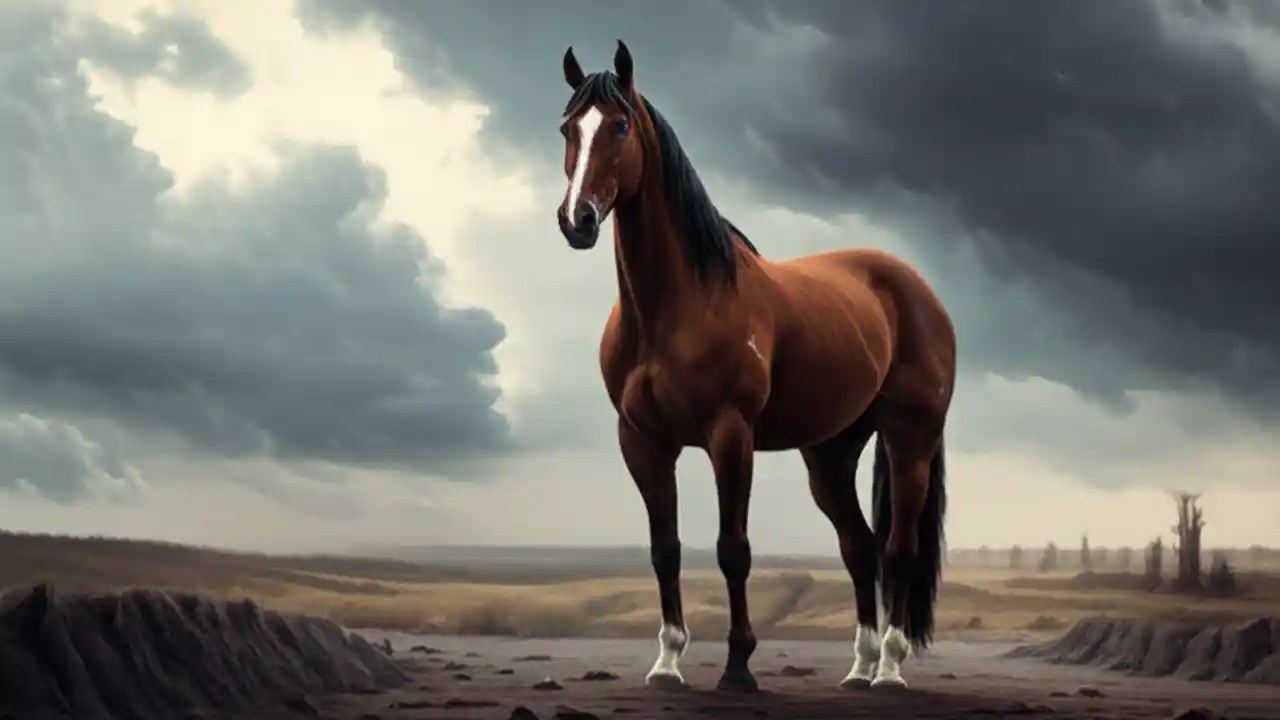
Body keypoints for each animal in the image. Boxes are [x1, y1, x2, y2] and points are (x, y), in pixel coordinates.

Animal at [554, 41, 956, 693]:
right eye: (568, 127)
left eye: (619, 126)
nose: (577, 220)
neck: (678, 303)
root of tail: (917, 289)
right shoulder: (641, 440)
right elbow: (665, 548)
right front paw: (667, 663)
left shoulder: (730, 434)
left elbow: (732, 548)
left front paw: (738, 667)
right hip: (830, 454)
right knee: (860, 547)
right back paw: (858, 667)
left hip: (909, 438)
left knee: (898, 549)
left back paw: (890, 670)